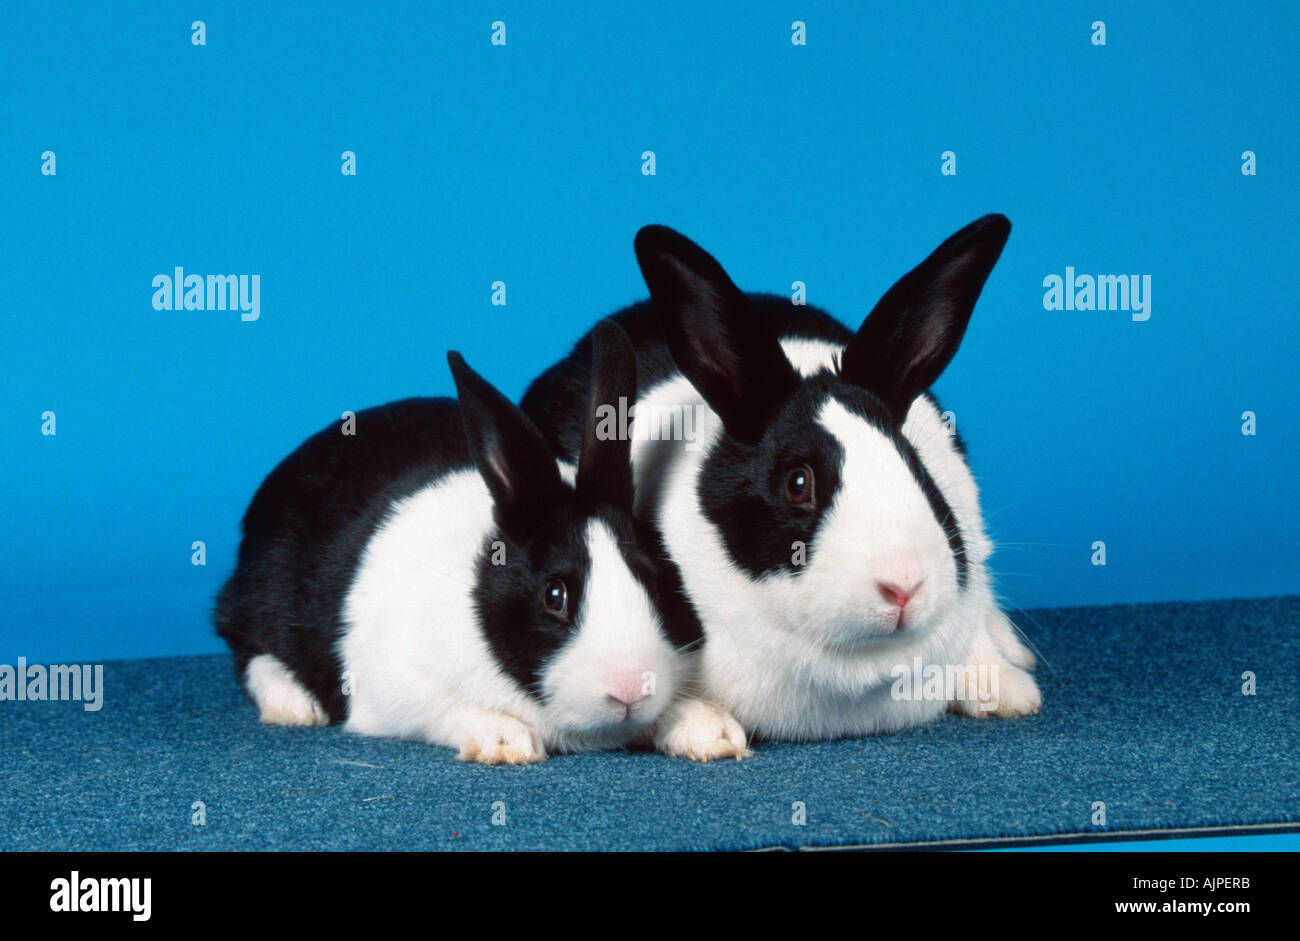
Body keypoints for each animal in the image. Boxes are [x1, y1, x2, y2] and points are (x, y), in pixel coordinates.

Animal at [215, 320, 731, 764]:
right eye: (554, 596)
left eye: (654, 579)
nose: (629, 692)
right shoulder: (396, 693)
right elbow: (448, 710)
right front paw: (505, 740)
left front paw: (711, 731)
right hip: (264, 597)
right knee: (247, 649)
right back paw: (294, 706)